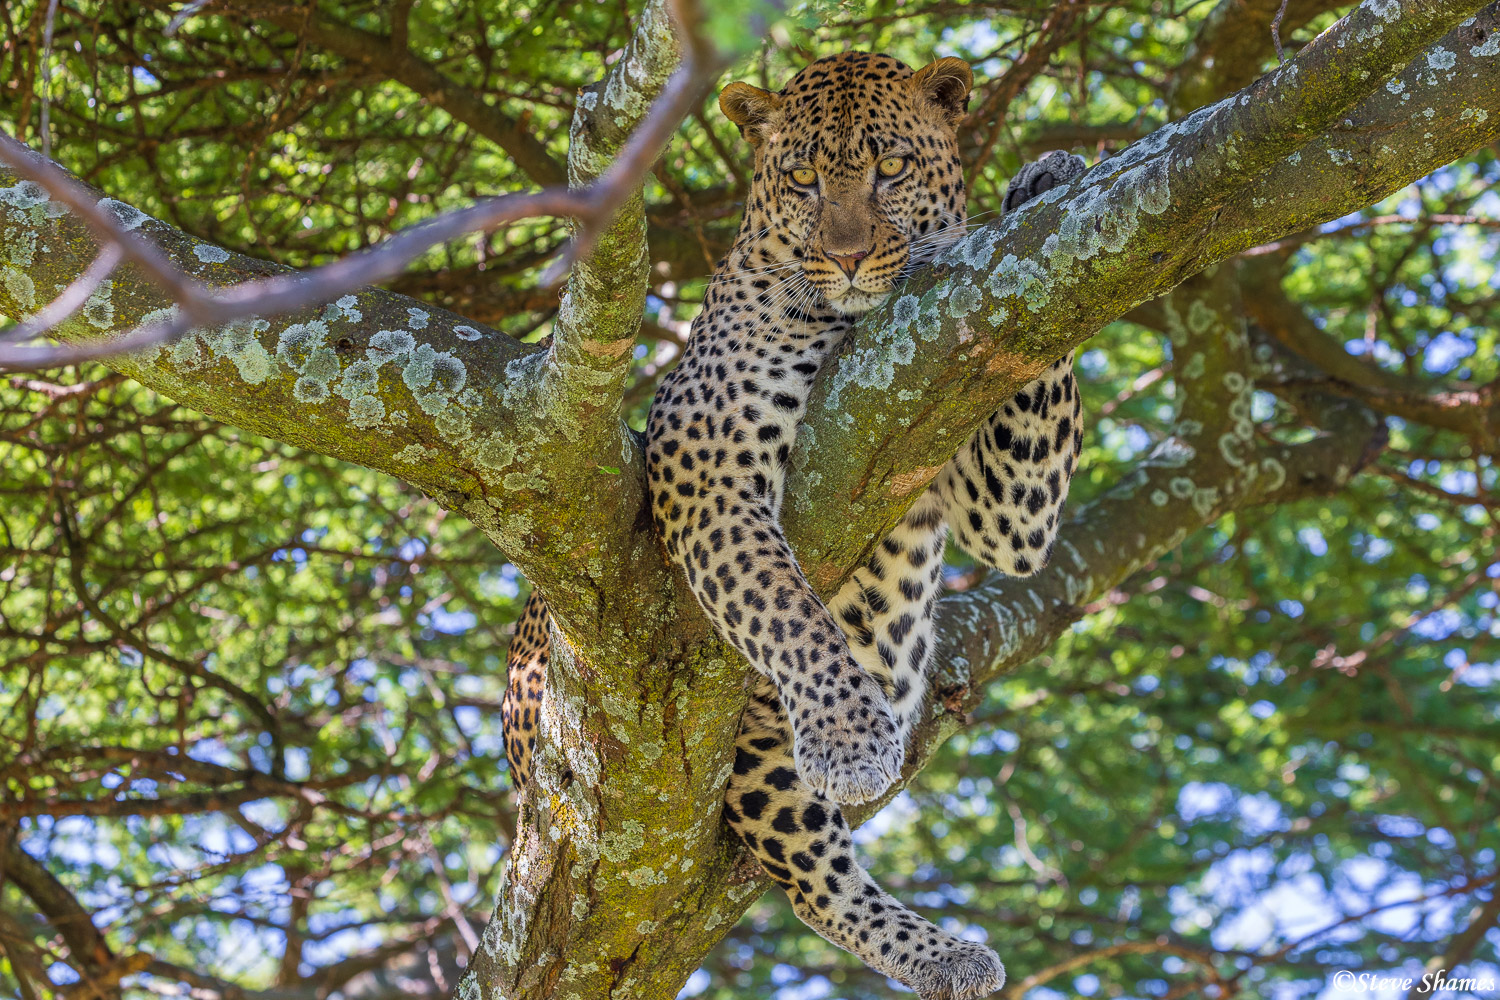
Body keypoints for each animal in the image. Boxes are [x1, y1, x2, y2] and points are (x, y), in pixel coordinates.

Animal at [502, 51, 1085, 1000]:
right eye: (803, 180)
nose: (844, 258)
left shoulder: (1004, 499)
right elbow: (789, 612)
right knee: (817, 877)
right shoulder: (707, 474)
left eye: (892, 168)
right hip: (749, 760)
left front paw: (1046, 182)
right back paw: (939, 948)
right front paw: (850, 741)